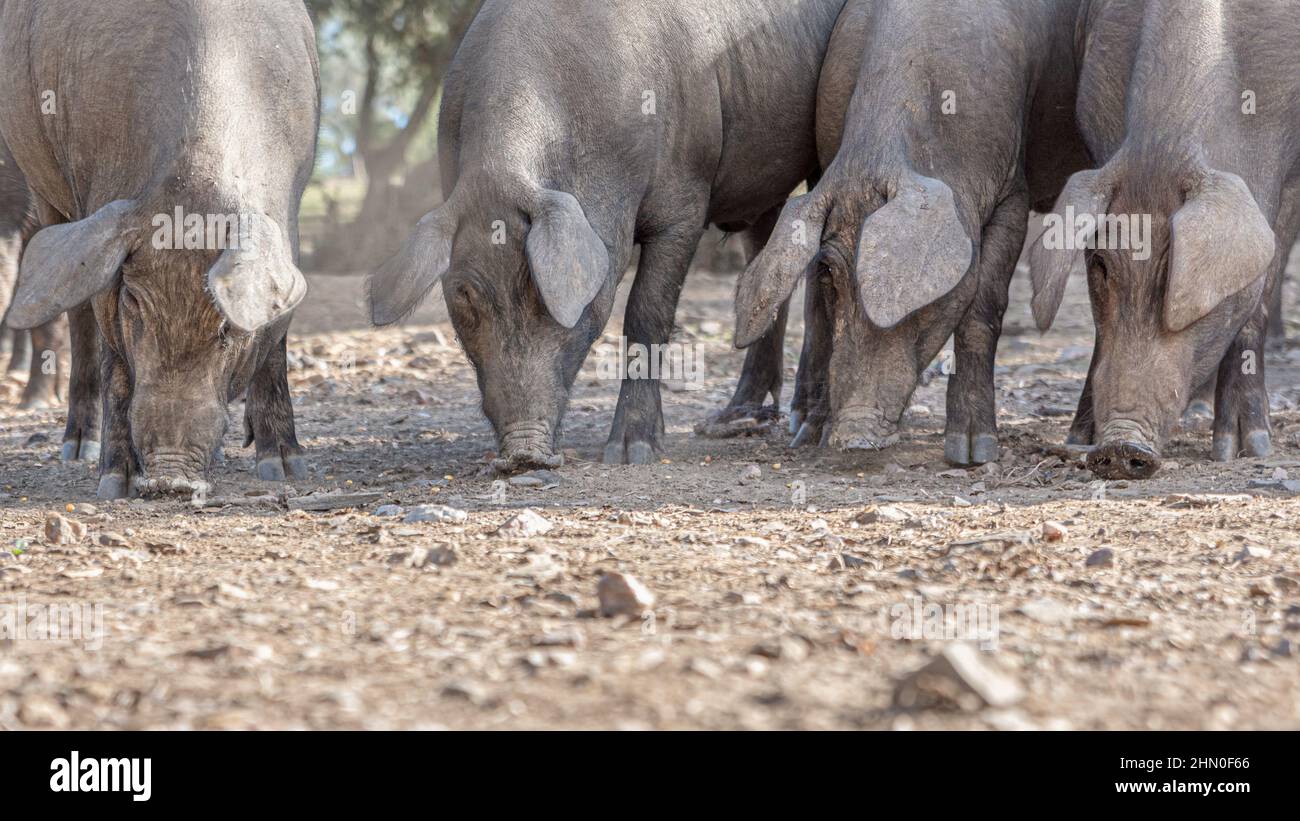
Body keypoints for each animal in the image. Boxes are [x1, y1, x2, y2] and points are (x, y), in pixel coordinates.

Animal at [0, 0, 320, 498]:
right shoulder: (101, 206)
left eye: (227, 329)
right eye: (133, 303)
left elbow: (275, 339)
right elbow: (113, 357)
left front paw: (285, 468)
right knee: (74, 312)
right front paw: (114, 483)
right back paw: (77, 448)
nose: (171, 478)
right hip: (42, 184)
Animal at [368, 0, 847, 470]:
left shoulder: (686, 197)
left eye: (544, 294)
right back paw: (730, 419)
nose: (523, 454)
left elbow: (646, 313)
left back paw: (799, 422)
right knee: (762, 262)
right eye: (464, 295)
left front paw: (632, 453)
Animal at [735, 0, 1089, 464]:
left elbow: (983, 312)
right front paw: (815, 436)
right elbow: (822, 312)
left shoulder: (1012, 191)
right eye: (831, 273)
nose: (854, 435)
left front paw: (972, 452)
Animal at [1030, 0, 1300, 479]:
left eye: (1179, 273)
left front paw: (1245, 448)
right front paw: (1078, 438)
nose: (1120, 447)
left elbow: (1261, 292)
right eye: (1100, 264)